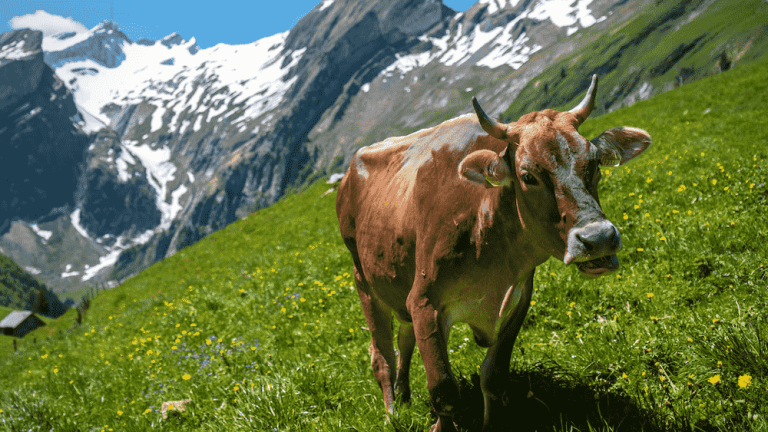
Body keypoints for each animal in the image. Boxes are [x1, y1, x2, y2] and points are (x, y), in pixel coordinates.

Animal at [335, 75, 651, 431]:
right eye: (527, 175)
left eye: (595, 163)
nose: (598, 238)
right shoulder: (424, 302)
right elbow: (443, 390)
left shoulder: (518, 299)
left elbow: (493, 377)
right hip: (363, 281)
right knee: (382, 355)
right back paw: (392, 413)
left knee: (404, 340)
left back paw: (404, 395)